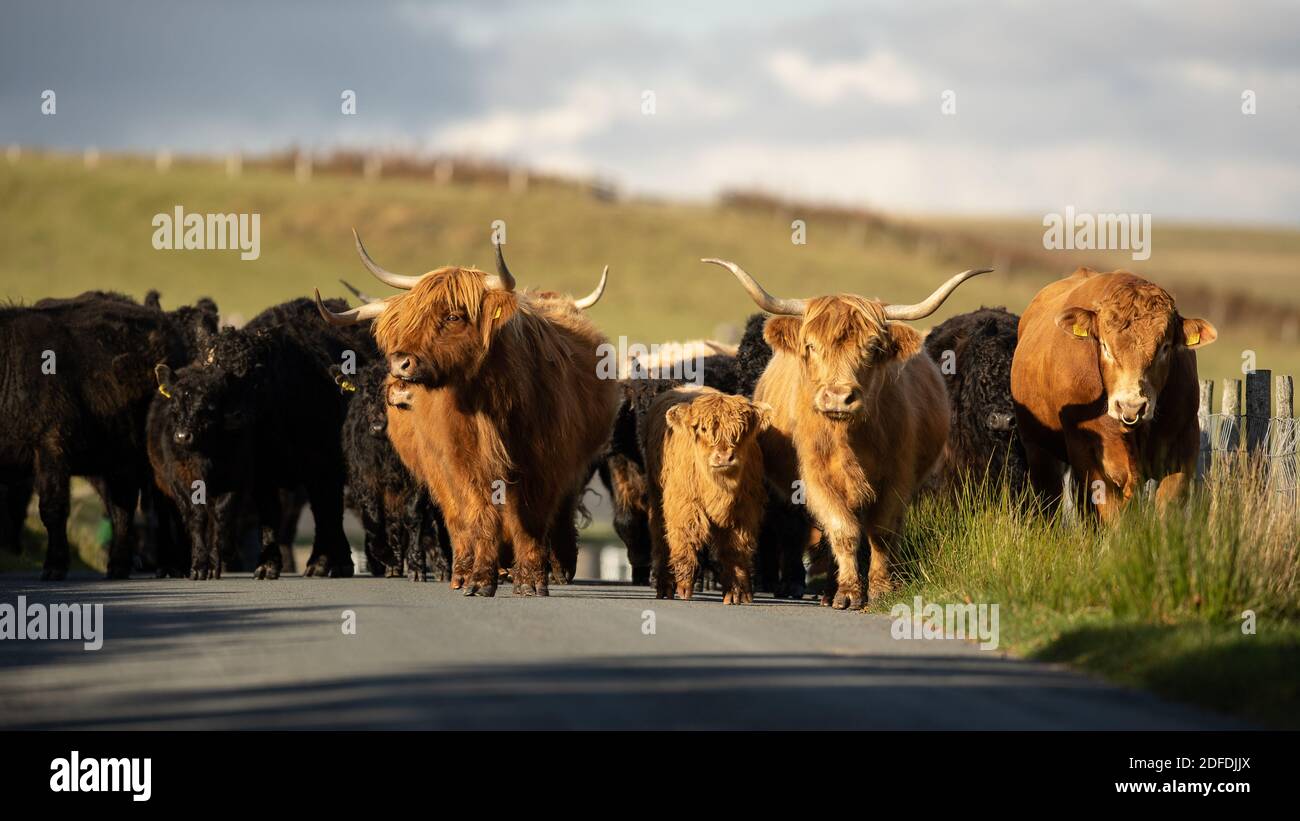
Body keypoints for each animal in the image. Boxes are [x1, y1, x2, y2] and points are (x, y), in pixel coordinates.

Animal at [333, 361, 451, 581]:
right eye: (364, 394)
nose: (378, 427)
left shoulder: (417, 482)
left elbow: (413, 517)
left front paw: (416, 567)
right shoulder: (365, 480)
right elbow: (374, 520)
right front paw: (387, 556)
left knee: (434, 524)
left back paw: (442, 566)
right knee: (393, 521)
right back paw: (394, 565)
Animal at [639, 386, 770, 603]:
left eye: (740, 431)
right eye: (703, 429)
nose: (724, 457)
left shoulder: (744, 511)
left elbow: (736, 550)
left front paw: (737, 592)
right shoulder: (684, 504)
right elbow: (685, 539)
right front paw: (684, 587)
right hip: (657, 498)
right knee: (660, 539)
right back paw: (664, 587)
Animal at [706, 258, 989, 609]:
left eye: (872, 347)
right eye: (811, 346)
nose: (839, 397)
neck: (850, 439)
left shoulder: (897, 478)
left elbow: (881, 532)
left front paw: (880, 590)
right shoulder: (815, 480)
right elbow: (843, 530)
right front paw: (849, 593)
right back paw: (822, 590)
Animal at [1010, 268, 1216, 520]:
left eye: (1165, 347)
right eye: (1105, 347)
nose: (1131, 406)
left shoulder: (1183, 448)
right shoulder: (1089, 458)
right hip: (1039, 449)